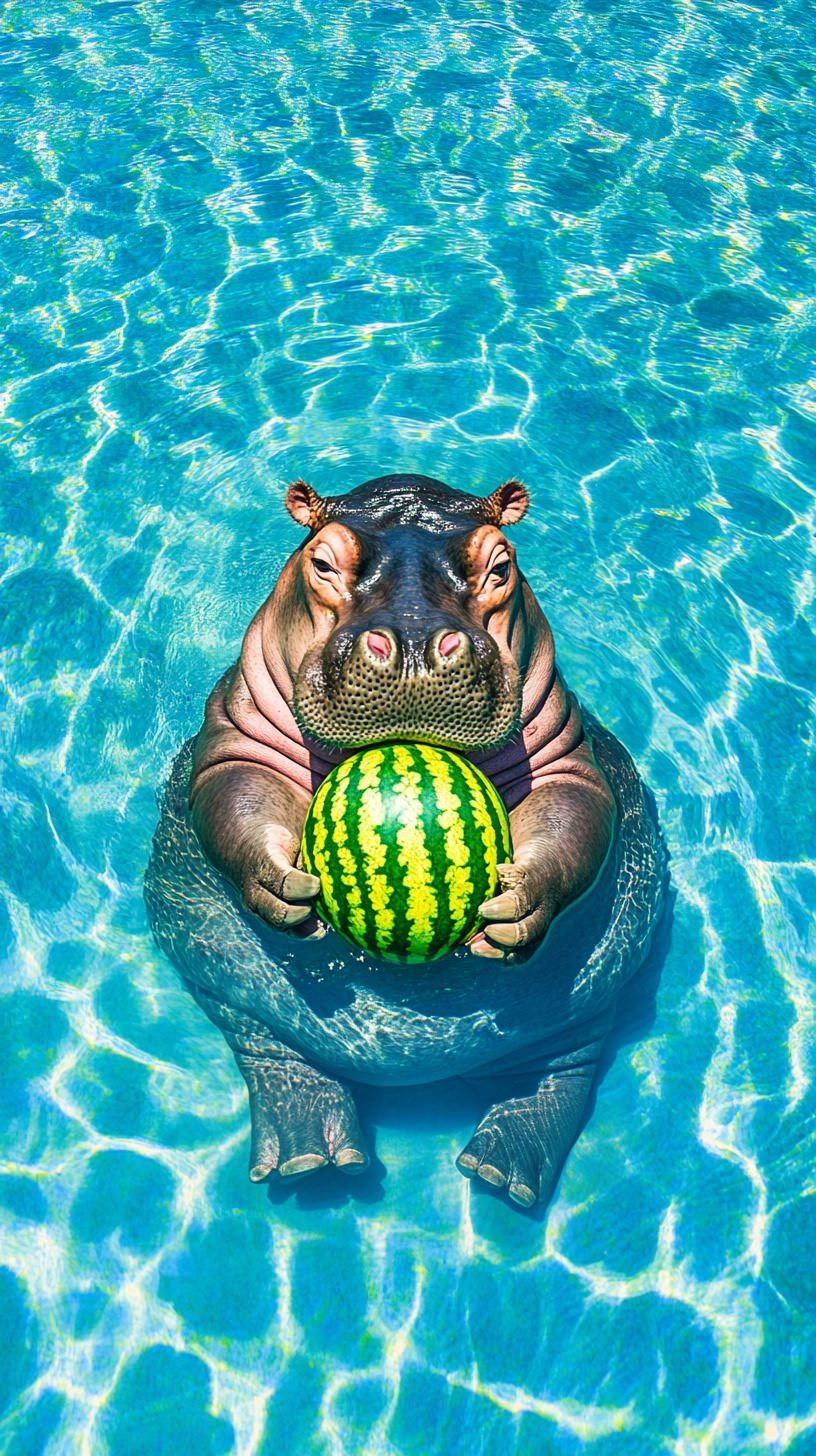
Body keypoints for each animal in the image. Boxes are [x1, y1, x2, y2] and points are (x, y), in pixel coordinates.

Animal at [145, 473, 666, 1209]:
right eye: (322, 561)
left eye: (501, 565)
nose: (416, 645)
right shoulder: (235, 739)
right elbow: (233, 797)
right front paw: (287, 888)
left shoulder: (567, 754)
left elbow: (577, 814)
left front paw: (513, 910)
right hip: (222, 982)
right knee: (272, 1052)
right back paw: (309, 1159)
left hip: (589, 998)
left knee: (560, 1073)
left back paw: (502, 1175)